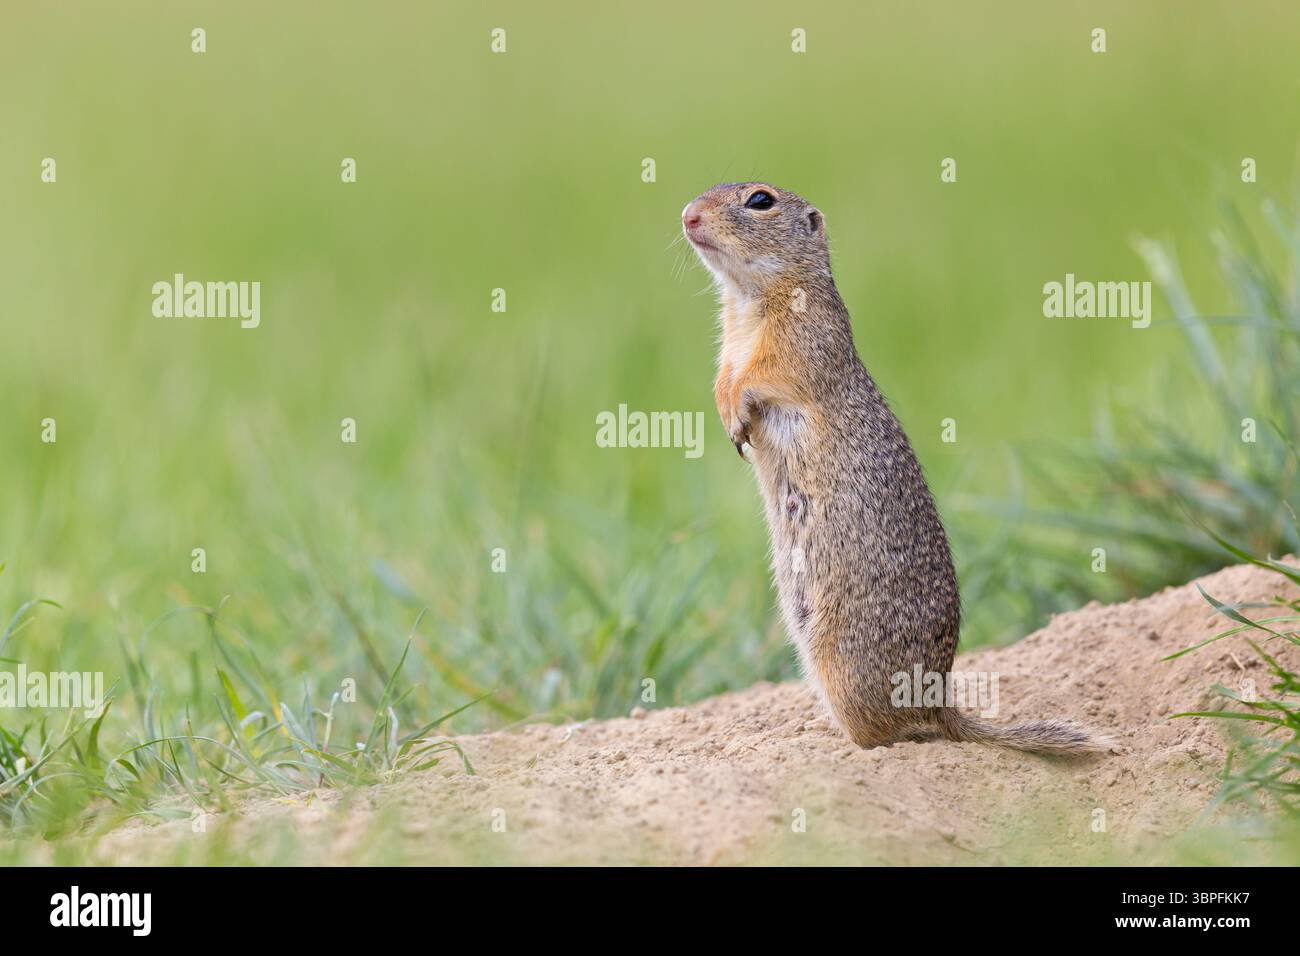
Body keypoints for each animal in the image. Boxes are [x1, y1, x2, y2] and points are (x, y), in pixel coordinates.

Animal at [682, 182, 1107, 756]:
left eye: (761, 200)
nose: (688, 216)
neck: (747, 297)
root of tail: (938, 698)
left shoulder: (802, 336)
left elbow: (766, 373)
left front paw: (738, 415)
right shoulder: (728, 345)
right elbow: (724, 376)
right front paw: (727, 413)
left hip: (842, 665)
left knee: (887, 733)